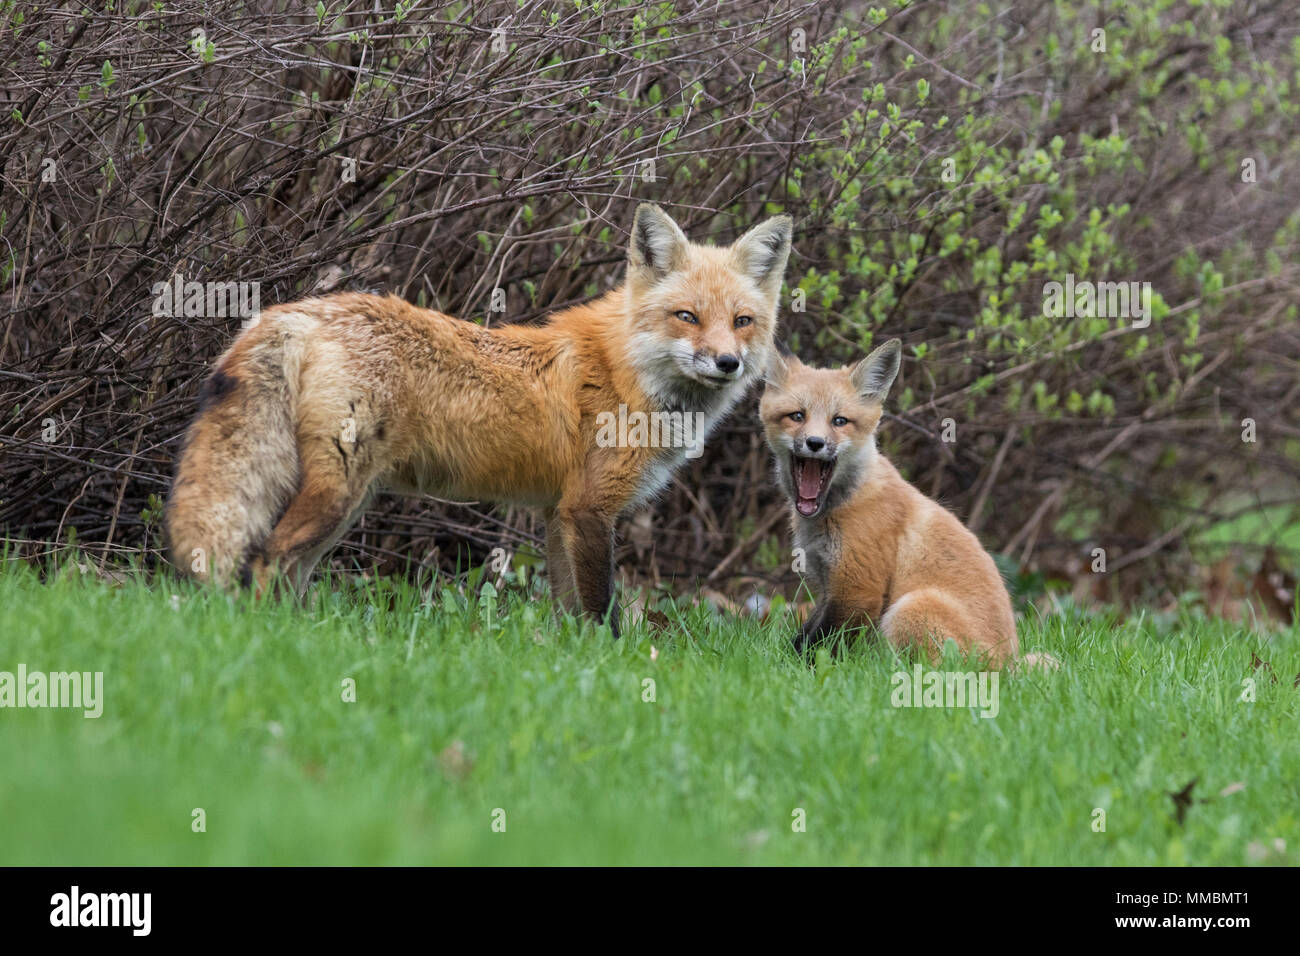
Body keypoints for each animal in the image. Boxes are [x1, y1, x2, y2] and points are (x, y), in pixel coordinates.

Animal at [165, 204, 794, 636]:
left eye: (742, 321)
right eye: (687, 317)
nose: (728, 363)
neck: (629, 372)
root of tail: (296, 311)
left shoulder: (557, 513)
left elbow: (568, 610)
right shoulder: (590, 509)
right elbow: (601, 612)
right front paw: (612, 666)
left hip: (348, 500)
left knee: (292, 570)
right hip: (337, 494)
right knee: (269, 557)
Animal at [760, 341, 1025, 667]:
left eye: (839, 421)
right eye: (797, 416)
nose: (815, 443)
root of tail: (1009, 665)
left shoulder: (858, 589)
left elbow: (820, 643)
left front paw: (802, 667)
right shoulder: (827, 585)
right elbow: (804, 635)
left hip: (910, 608)